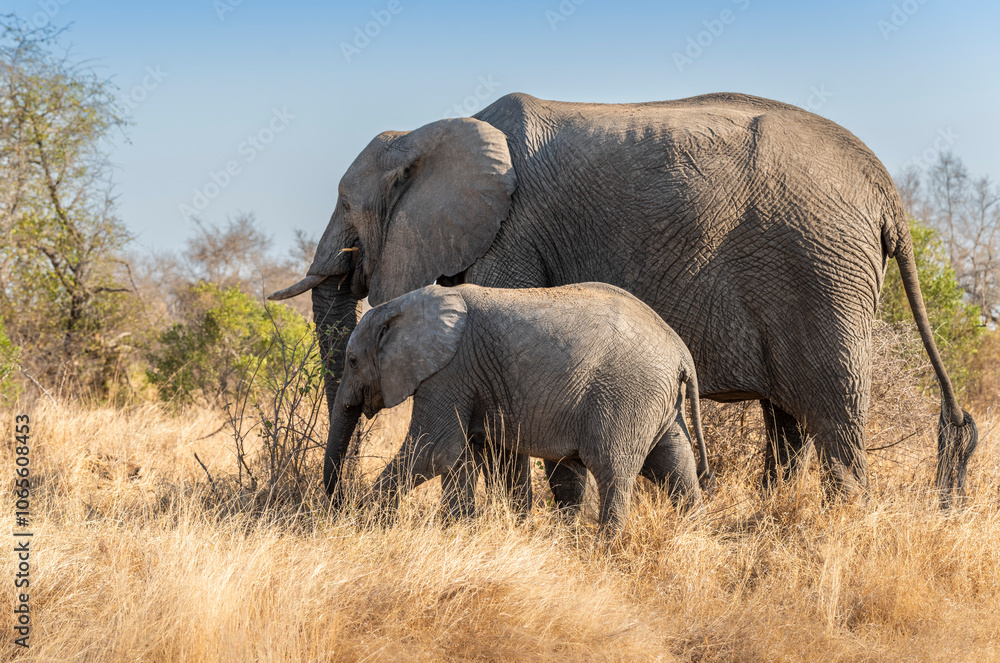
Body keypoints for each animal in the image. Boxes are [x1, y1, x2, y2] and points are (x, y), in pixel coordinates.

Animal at [270, 92, 978, 508]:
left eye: (348, 211)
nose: (329, 504)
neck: (433, 130)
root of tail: (886, 190)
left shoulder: (511, 235)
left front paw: (514, 521)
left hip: (821, 269)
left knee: (830, 412)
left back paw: (837, 523)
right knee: (787, 420)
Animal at [328, 282, 712, 535]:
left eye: (352, 360)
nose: (333, 506)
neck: (404, 305)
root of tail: (680, 350)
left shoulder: (449, 370)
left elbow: (434, 449)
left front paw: (361, 522)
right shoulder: (473, 379)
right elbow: (467, 455)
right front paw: (462, 530)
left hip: (627, 394)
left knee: (613, 471)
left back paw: (605, 551)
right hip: (658, 400)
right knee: (676, 466)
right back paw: (693, 539)